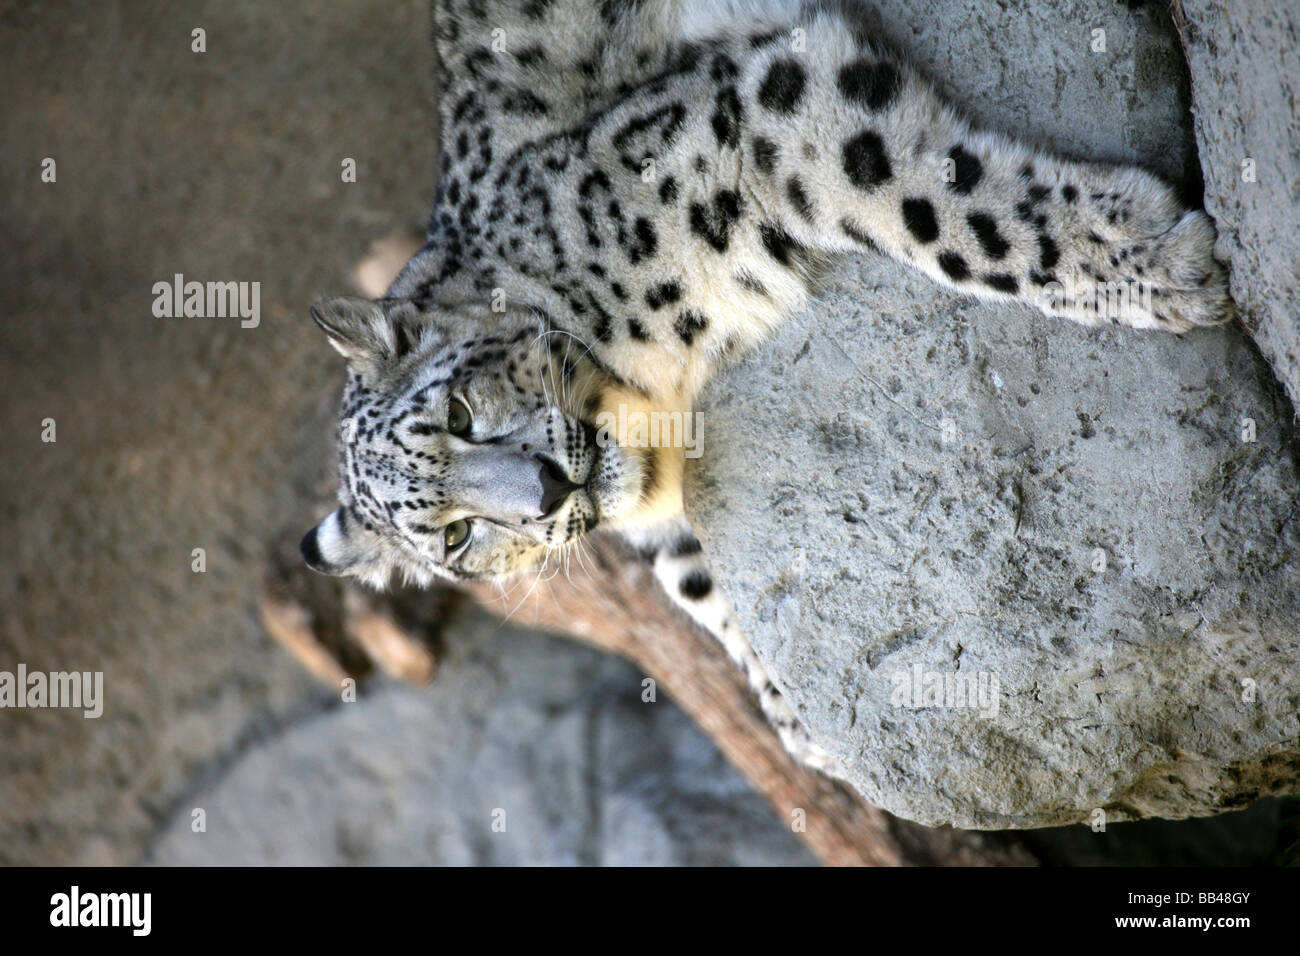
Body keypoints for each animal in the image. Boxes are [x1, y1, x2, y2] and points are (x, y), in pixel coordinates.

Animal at [300, 0, 1230, 773]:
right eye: (455, 538)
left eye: (458, 412)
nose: (548, 489)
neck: (650, 391)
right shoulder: (660, 515)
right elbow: (699, 586)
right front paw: (796, 719)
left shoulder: (749, 117)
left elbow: (942, 215)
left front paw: (1162, 265)